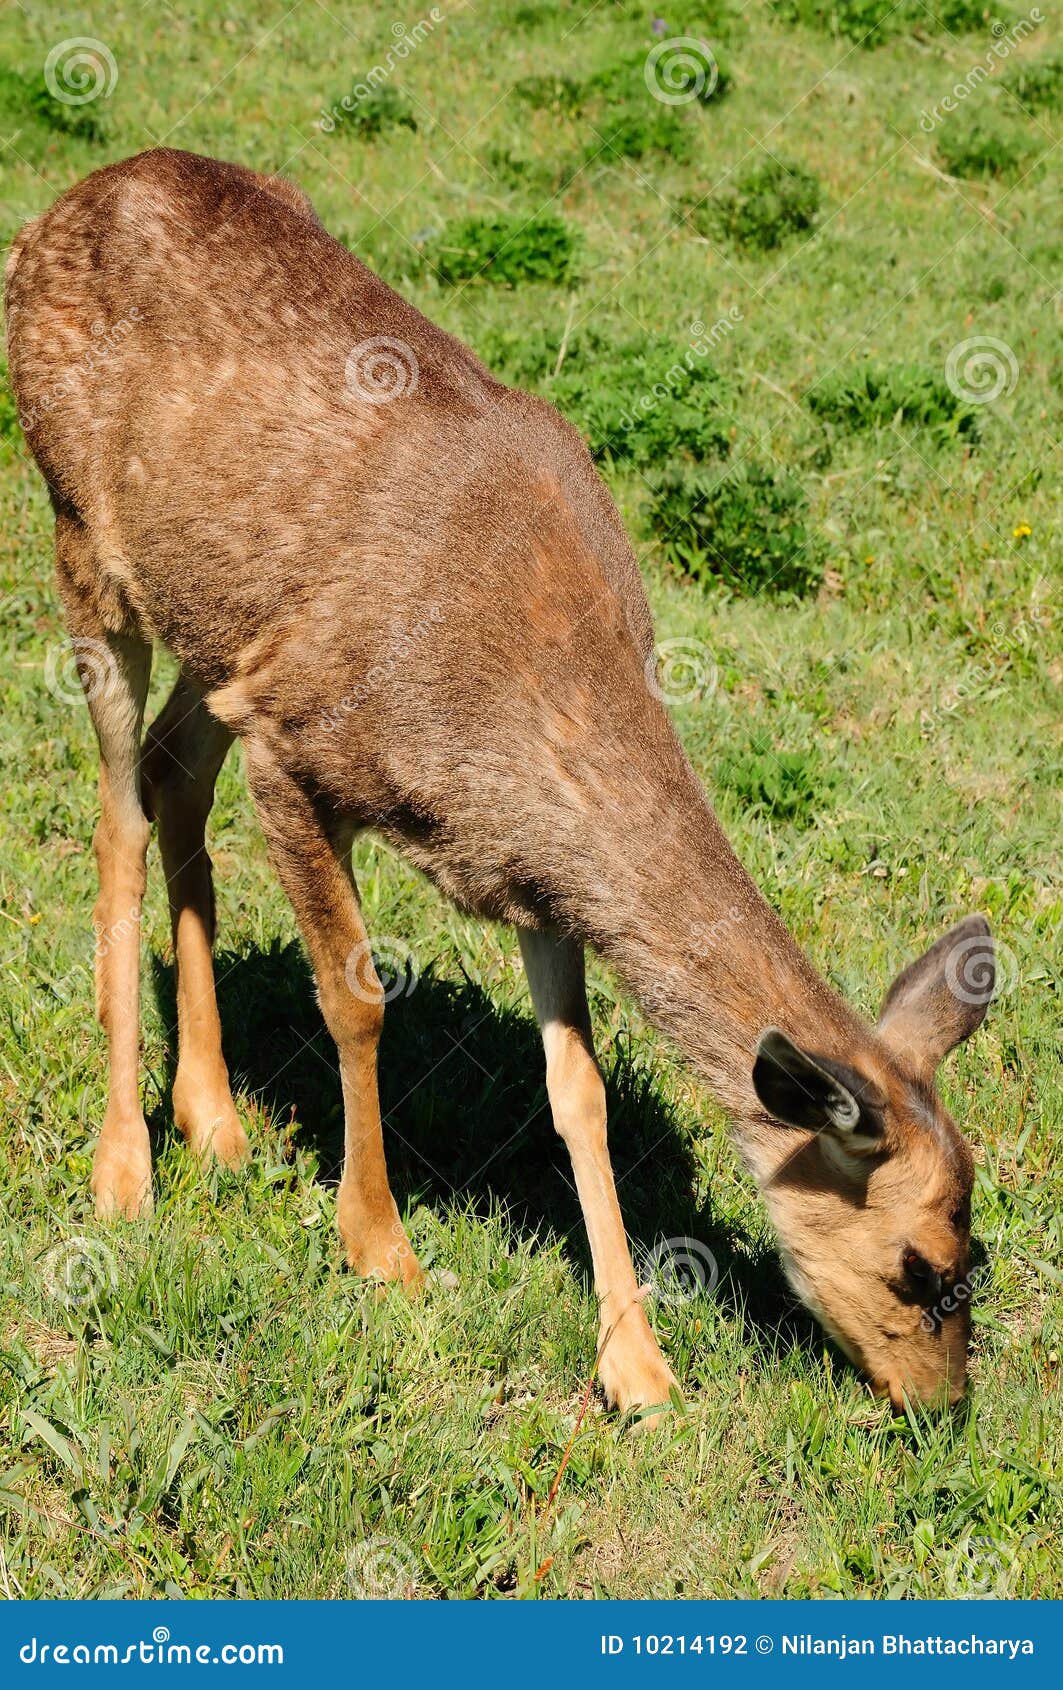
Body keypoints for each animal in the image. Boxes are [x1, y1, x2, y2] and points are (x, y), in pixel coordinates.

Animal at [5, 149, 996, 1418]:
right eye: (920, 1265)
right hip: (82, 538)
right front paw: (380, 1247)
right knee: (119, 809)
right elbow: (357, 997)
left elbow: (580, 1092)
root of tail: (57, 210)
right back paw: (124, 1165)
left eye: (974, 1251)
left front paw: (636, 1363)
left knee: (176, 769)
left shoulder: (531, 878)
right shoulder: (300, 747)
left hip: (221, 633)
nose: (941, 1405)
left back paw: (214, 1120)